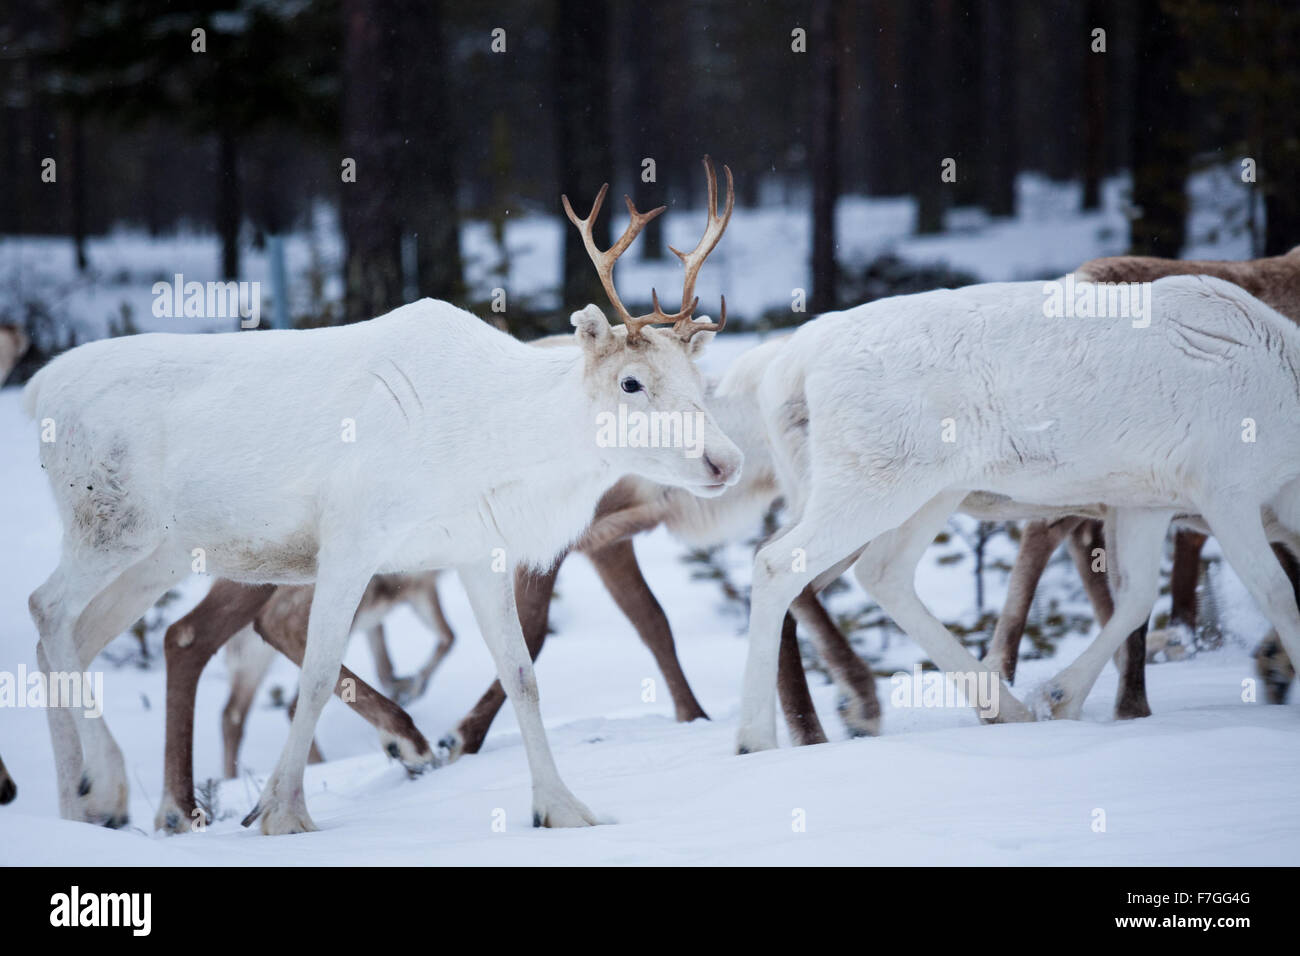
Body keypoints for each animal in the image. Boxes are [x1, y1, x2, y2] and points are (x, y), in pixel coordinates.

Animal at [26, 157, 742, 834]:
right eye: (630, 382)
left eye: (698, 381)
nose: (726, 459)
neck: (497, 446)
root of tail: (35, 391)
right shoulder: (351, 540)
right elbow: (316, 674)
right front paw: (283, 811)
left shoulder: (476, 551)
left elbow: (522, 674)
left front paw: (562, 808)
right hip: (109, 526)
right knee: (47, 609)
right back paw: (98, 786)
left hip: (160, 557)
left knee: (74, 636)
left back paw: (83, 804)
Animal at [728, 272, 1300, 754]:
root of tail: (789, 366)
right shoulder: (1225, 490)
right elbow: (1278, 594)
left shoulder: (1148, 501)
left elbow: (1135, 599)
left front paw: (1060, 697)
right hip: (875, 486)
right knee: (777, 564)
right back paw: (756, 739)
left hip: (929, 492)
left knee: (880, 573)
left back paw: (1007, 710)